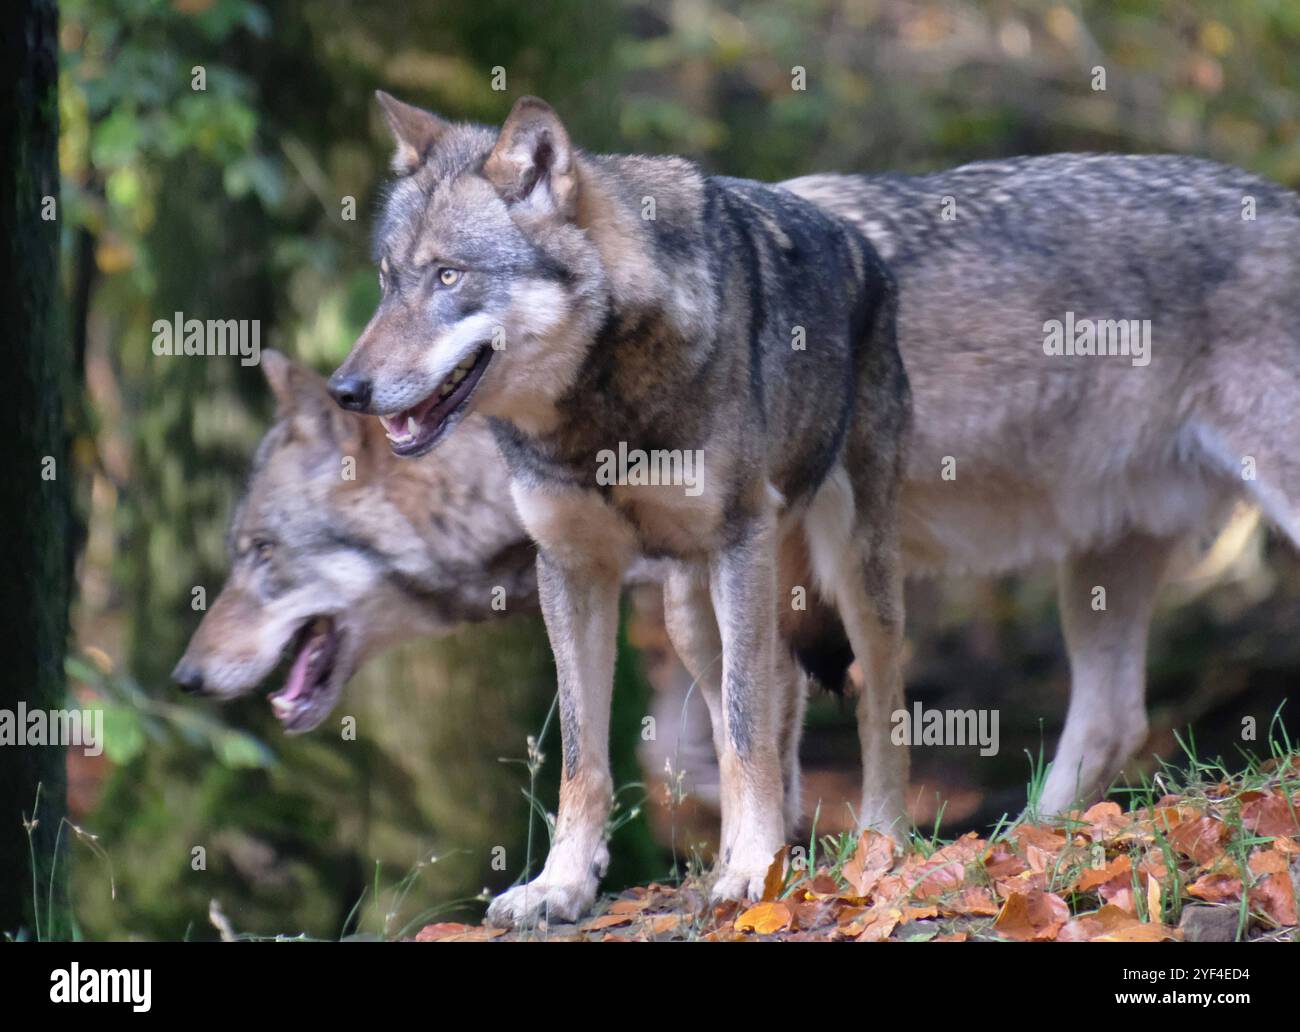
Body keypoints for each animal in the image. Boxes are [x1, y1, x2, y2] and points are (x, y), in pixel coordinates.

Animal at [327, 93, 911, 925]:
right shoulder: (572, 569)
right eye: (386, 280)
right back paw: (735, 858)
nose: (345, 391)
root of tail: (865, 247)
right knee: (763, 699)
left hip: (851, 578)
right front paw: (560, 885)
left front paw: (756, 868)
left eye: (448, 275)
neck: (595, 412)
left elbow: (746, 735)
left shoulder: (739, 542)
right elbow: (585, 756)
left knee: (874, 707)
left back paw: (877, 844)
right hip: (693, 616)